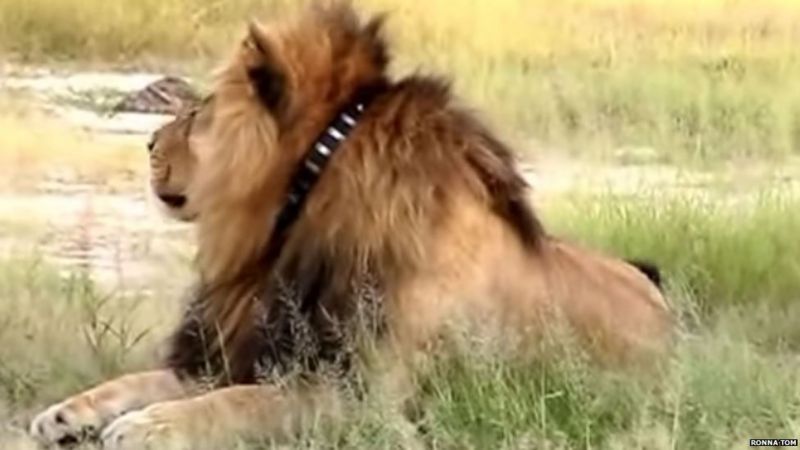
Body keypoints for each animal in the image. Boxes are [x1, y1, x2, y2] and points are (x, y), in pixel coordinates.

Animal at [30, 3, 673, 449]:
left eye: (199, 113)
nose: (148, 144)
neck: (292, 225)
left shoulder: (369, 398)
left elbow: (245, 402)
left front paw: (151, 425)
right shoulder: (250, 351)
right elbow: (146, 379)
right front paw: (68, 412)